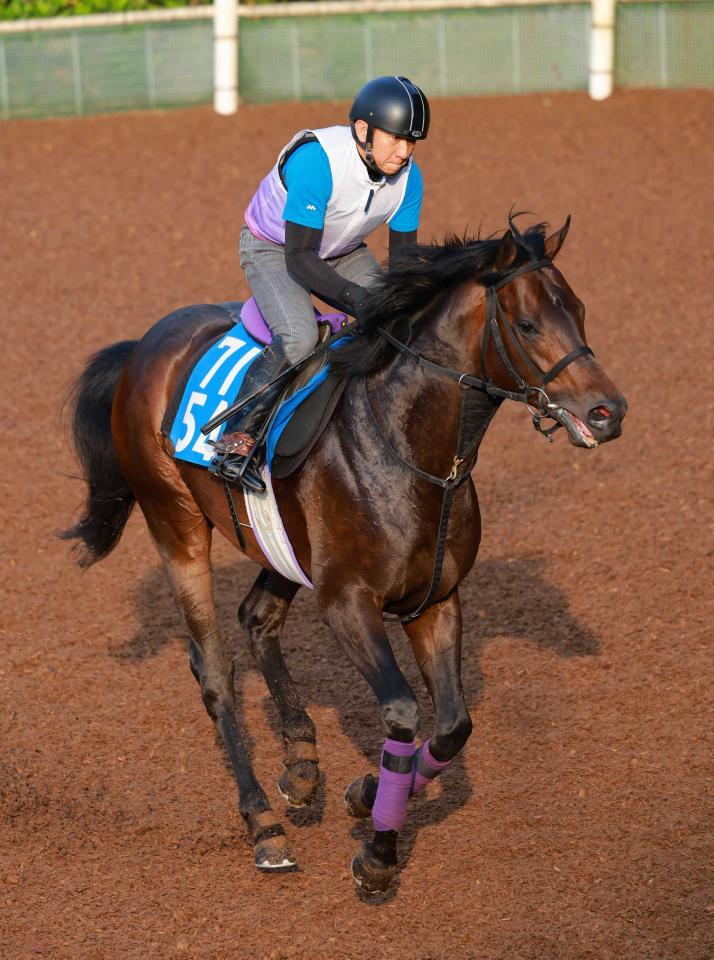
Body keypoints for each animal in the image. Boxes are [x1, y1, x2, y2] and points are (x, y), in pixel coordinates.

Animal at [60, 216, 626, 894]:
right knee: (215, 674)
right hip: (176, 524)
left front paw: (363, 792)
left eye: (581, 310)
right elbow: (403, 712)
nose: (609, 411)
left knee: (258, 617)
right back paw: (265, 829)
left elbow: (452, 727)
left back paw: (303, 764)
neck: (410, 451)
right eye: (528, 324)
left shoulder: (434, 600)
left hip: (282, 544)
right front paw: (379, 852)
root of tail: (142, 347)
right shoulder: (348, 602)